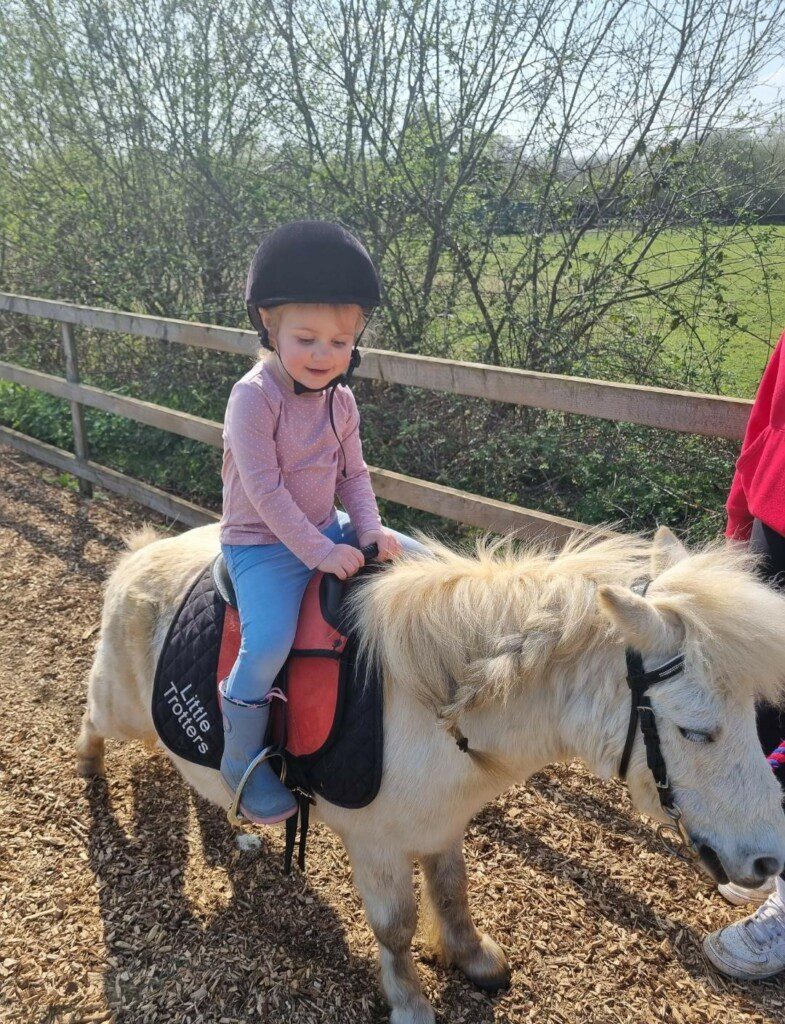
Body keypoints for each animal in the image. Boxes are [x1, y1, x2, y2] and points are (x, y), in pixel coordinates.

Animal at [76, 521, 785, 1024]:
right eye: (696, 731)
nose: (768, 860)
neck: (430, 704)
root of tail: (142, 554)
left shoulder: (443, 821)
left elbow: (451, 891)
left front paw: (473, 959)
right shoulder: (376, 842)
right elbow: (396, 925)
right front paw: (411, 1003)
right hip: (120, 703)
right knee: (92, 715)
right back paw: (89, 768)